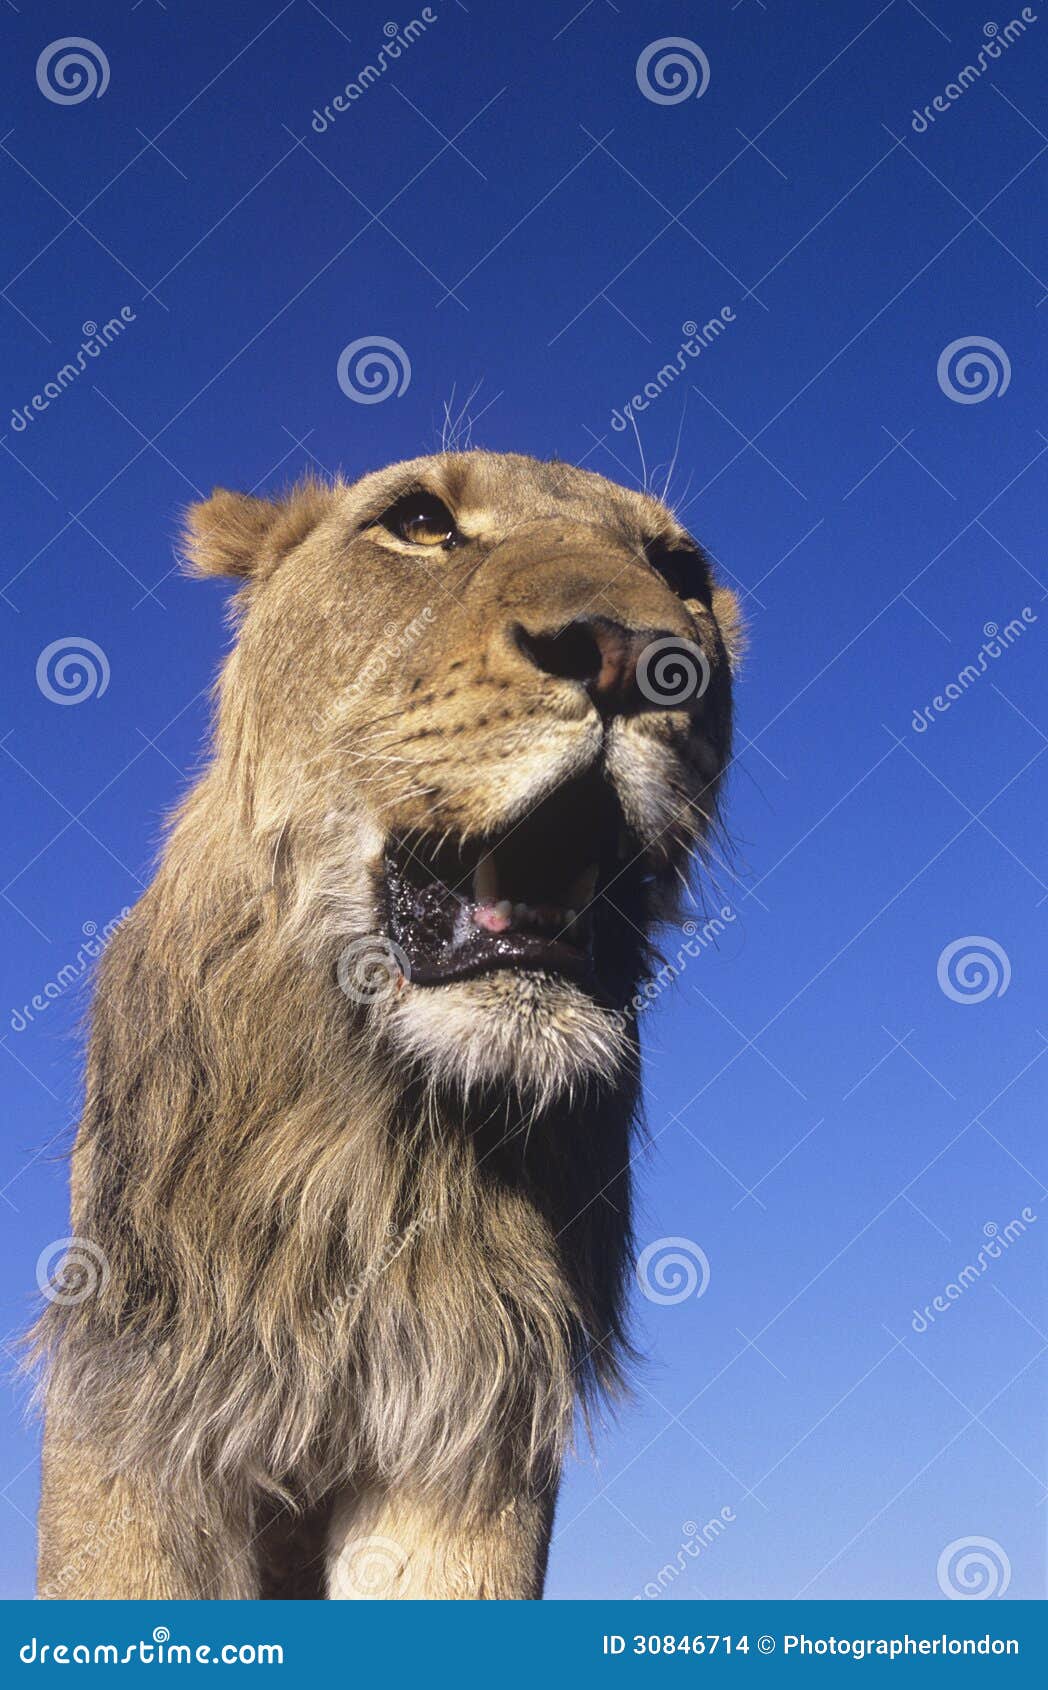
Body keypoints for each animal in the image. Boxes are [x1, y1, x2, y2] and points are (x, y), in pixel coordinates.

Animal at [34, 450, 741, 1599]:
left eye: (680, 570)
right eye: (418, 522)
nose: (639, 656)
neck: (375, 1135)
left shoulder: (471, 1425)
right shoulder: (136, 1393)